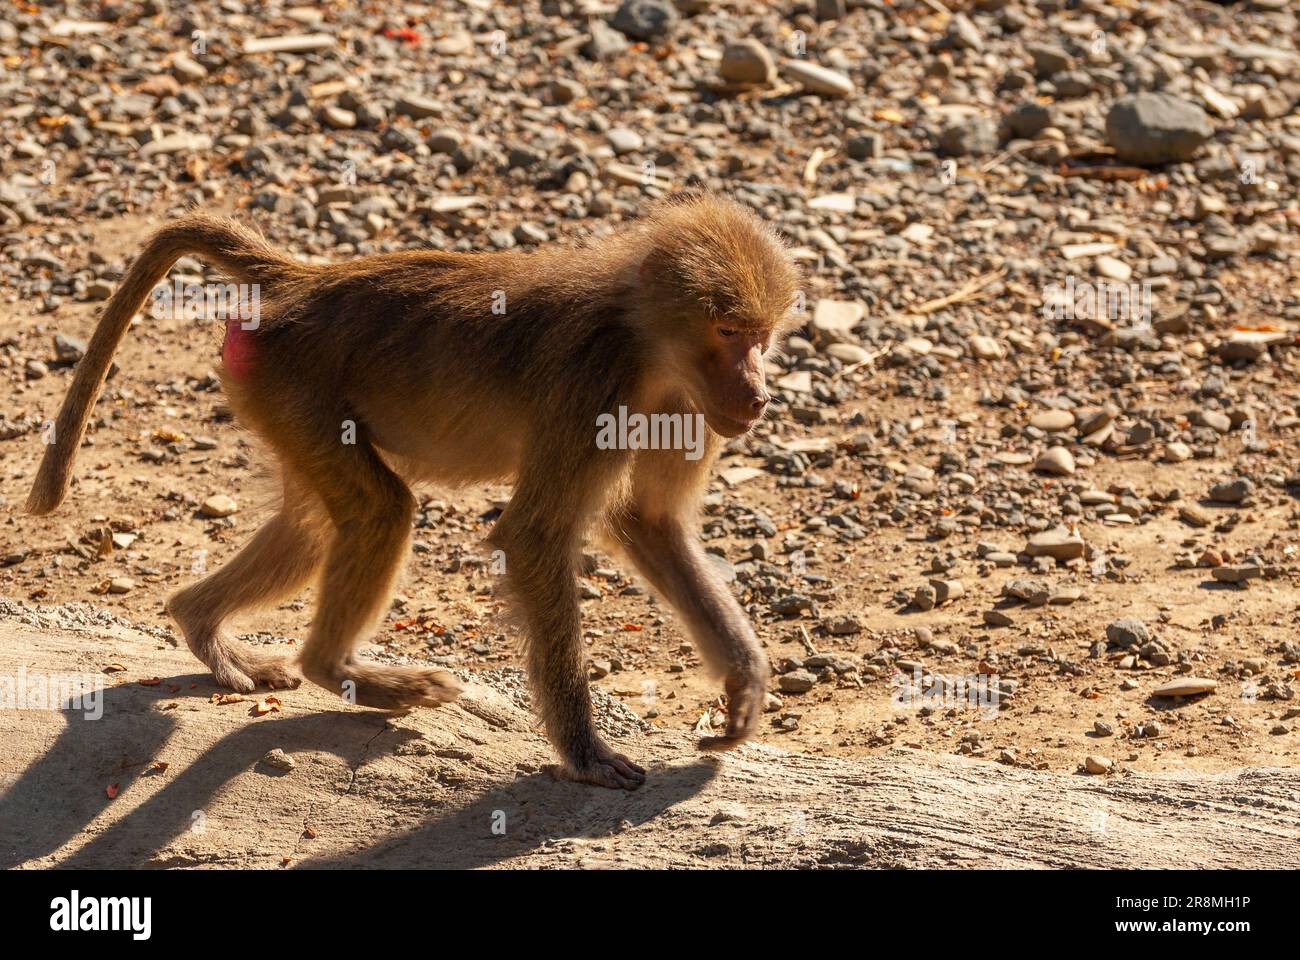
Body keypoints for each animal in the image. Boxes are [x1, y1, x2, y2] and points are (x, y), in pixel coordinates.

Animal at [26, 193, 800, 790]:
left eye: (760, 337)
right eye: (728, 330)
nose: (758, 396)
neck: (645, 343)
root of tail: (307, 283)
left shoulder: (690, 407)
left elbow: (650, 522)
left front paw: (743, 685)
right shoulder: (592, 386)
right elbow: (533, 538)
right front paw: (584, 754)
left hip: (274, 394)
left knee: (314, 525)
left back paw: (204, 626)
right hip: (287, 382)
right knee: (380, 511)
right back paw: (339, 670)